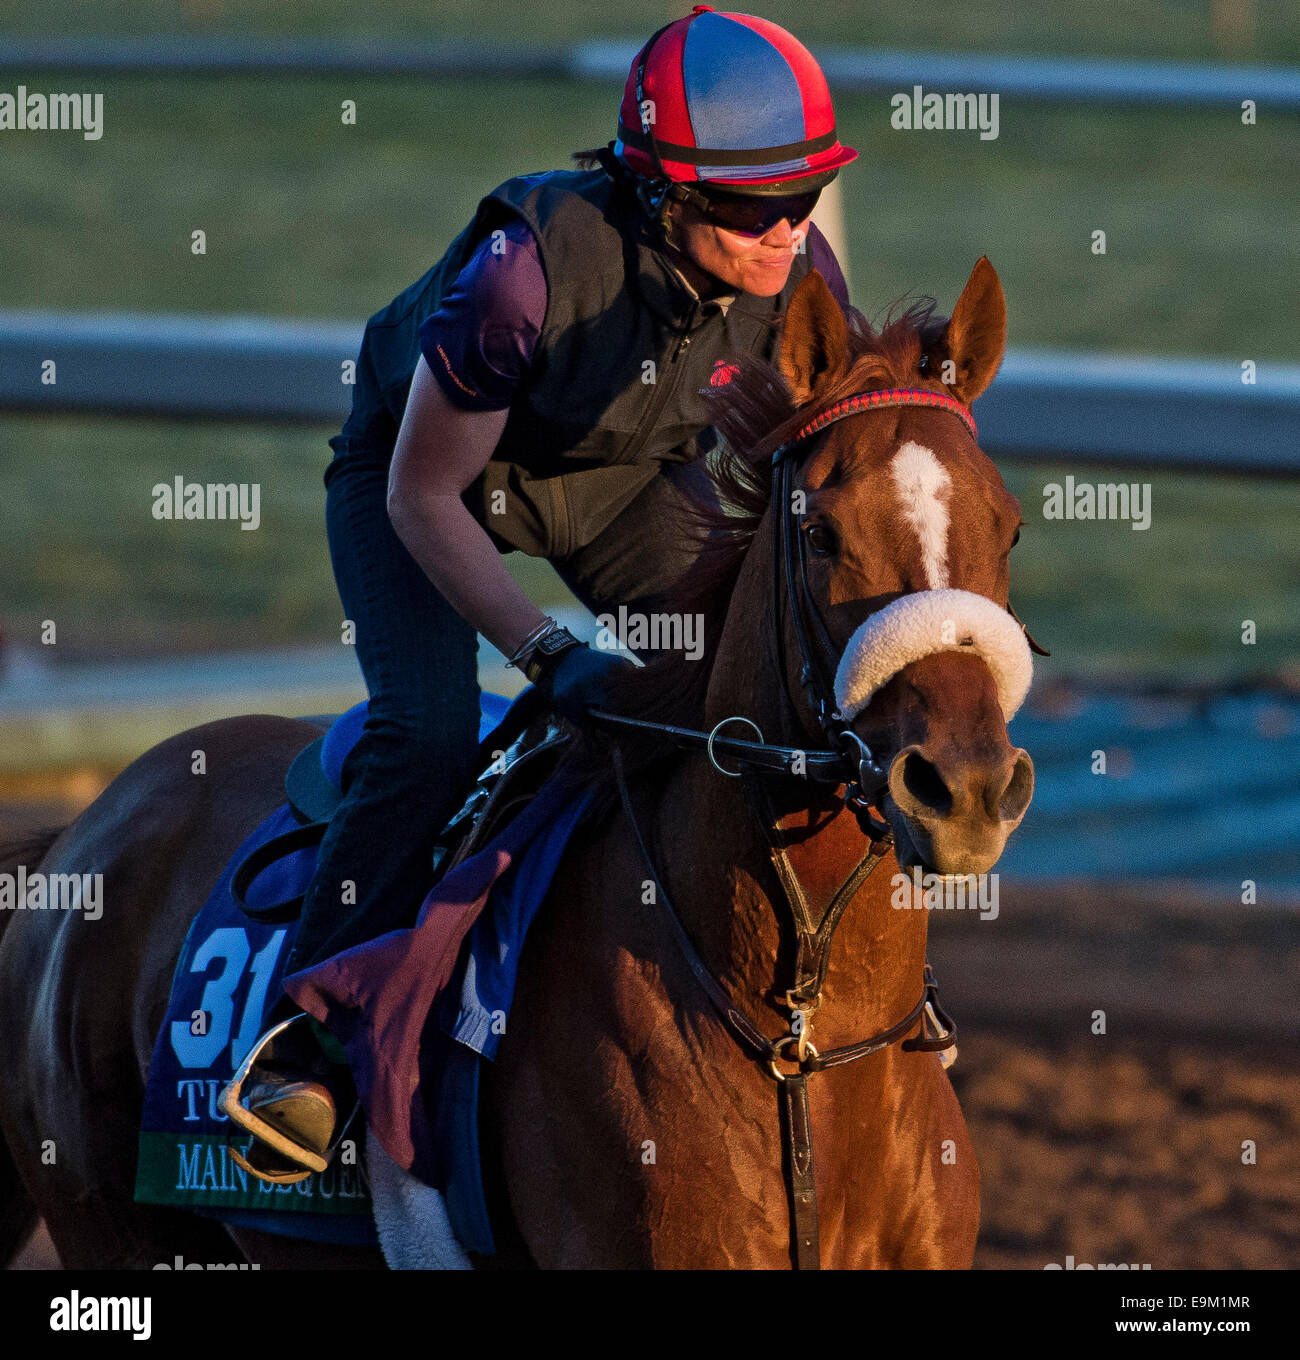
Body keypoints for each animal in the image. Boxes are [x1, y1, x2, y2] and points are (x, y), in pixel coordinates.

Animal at [0, 257, 1035, 1269]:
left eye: (1012, 526)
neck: (802, 1041)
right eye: (822, 534)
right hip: (116, 1227)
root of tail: (83, 831)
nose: (965, 789)